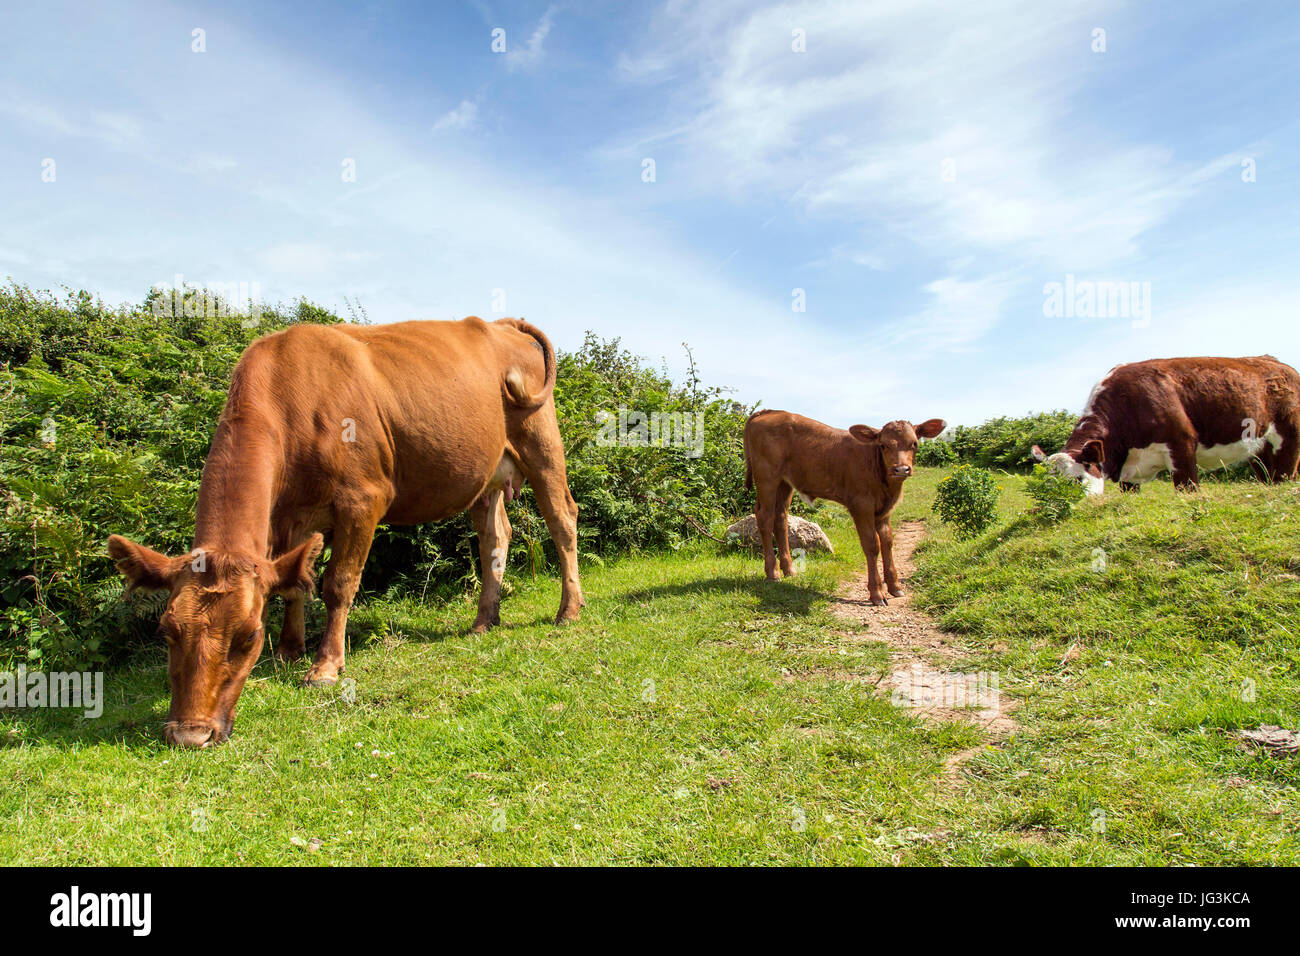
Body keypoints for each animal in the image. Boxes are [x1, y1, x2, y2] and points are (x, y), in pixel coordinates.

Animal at [107, 317, 583, 748]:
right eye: (166, 631)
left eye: (248, 635)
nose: (190, 735)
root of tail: (500, 323)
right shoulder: (289, 518)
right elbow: (294, 584)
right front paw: (288, 650)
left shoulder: (362, 499)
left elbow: (338, 584)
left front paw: (324, 667)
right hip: (486, 474)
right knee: (495, 538)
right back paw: (484, 620)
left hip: (541, 441)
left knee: (563, 519)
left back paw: (568, 610)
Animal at [743, 410, 946, 605]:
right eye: (883, 445)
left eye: (914, 444)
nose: (901, 469)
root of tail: (769, 412)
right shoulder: (861, 505)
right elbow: (872, 545)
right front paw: (876, 593)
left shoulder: (884, 510)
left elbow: (887, 542)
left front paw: (895, 587)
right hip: (767, 478)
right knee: (765, 517)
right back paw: (773, 573)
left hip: (785, 484)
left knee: (781, 518)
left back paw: (789, 570)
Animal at [1032, 356, 1300, 494]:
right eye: (1048, 482)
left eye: (1076, 479)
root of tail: (1278, 363)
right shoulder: (1130, 471)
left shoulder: (1181, 442)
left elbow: (1187, 487)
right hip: (1259, 447)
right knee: (1266, 473)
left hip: (1289, 434)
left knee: (1285, 473)